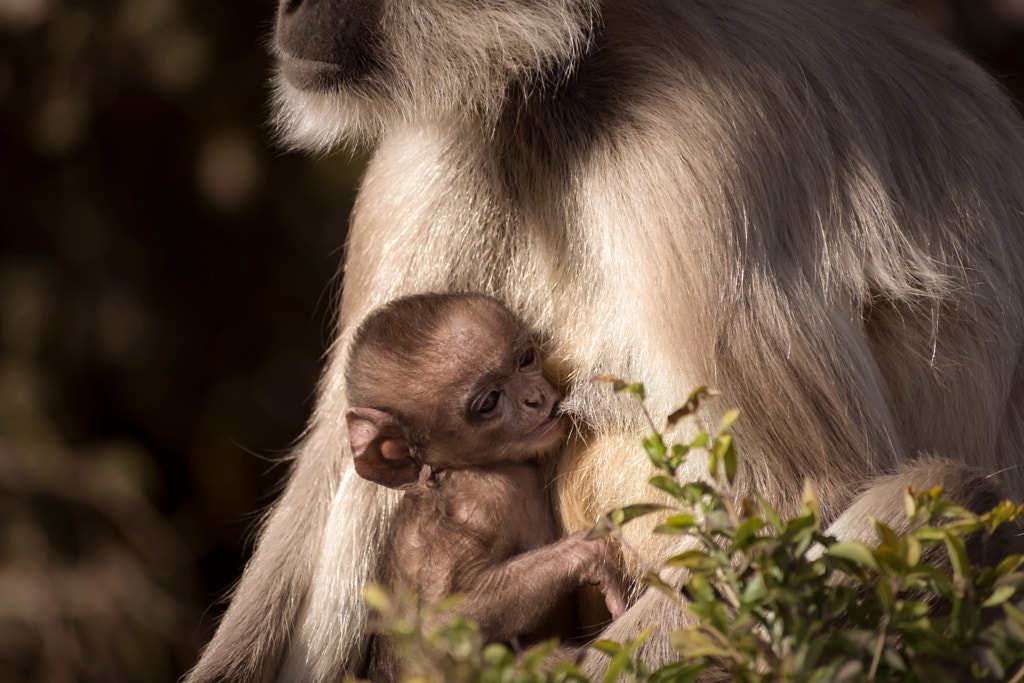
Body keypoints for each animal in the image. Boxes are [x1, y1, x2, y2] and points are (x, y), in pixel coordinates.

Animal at [343, 292, 627, 681]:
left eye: (526, 360)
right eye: (490, 401)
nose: (534, 398)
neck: (455, 469)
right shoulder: (488, 497)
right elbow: (438, 633)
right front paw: (588, 553)